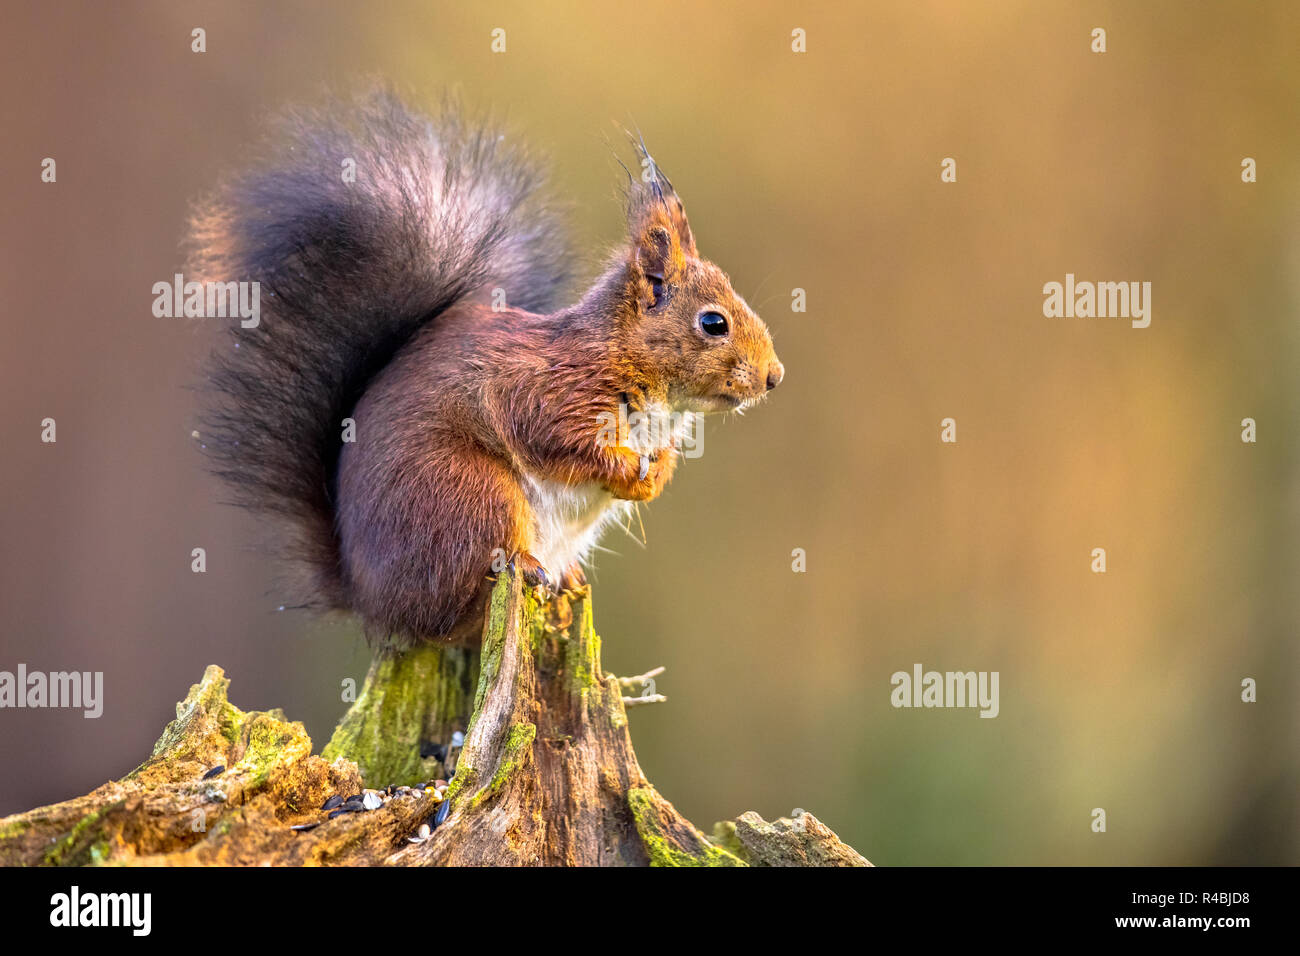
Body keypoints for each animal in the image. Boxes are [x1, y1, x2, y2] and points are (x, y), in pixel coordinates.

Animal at [193, 90, 783, 647]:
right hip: (471, 496)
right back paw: (523, 570)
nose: (774, 376)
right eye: (713, 323)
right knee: (453, 613)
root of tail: (371, 602)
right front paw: (625, 471)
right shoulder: (543, 391)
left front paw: (654, 476)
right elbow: (560, 442)